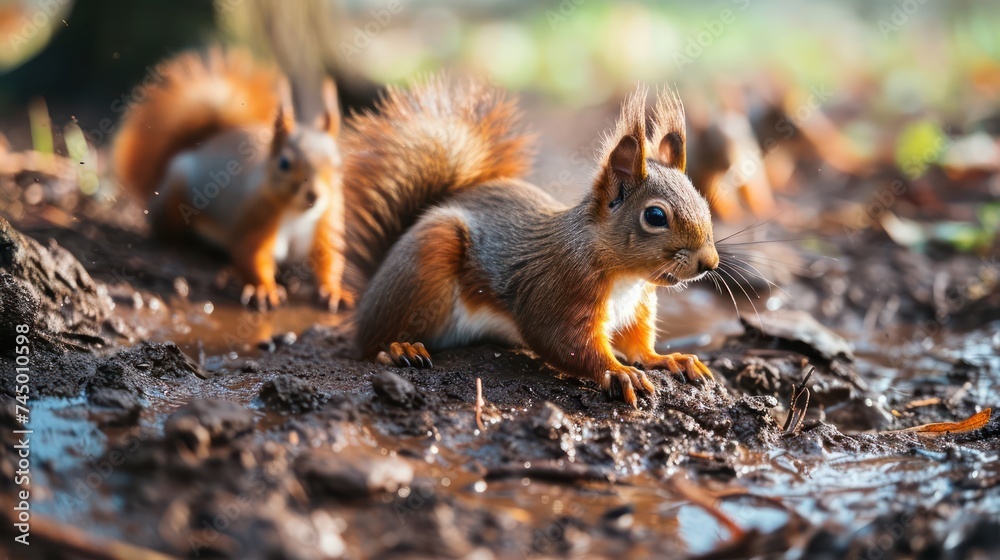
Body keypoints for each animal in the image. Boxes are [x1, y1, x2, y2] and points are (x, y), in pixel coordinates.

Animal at [114, 49, 347, 311]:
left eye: (338, 164)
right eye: (284, 163)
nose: (314, 195)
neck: (298, 214)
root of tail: (204, 143)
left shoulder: (326, 222)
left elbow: (329, 260)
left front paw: (333, 291)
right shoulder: (257, 216)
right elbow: (250, 253)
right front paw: (263, 290)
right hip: (176, 193)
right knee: (164, 228)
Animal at [344, 77, 720, 407]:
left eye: (703, 202)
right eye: (655, 216)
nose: (710, 263)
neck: (625, 278)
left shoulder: (635, 309)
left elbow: (639, 345)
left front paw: (668, 359)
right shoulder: (557, 289)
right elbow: (562, 341)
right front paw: (618, 371)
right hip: (426, 262)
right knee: (370, 342)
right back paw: (399, 348)